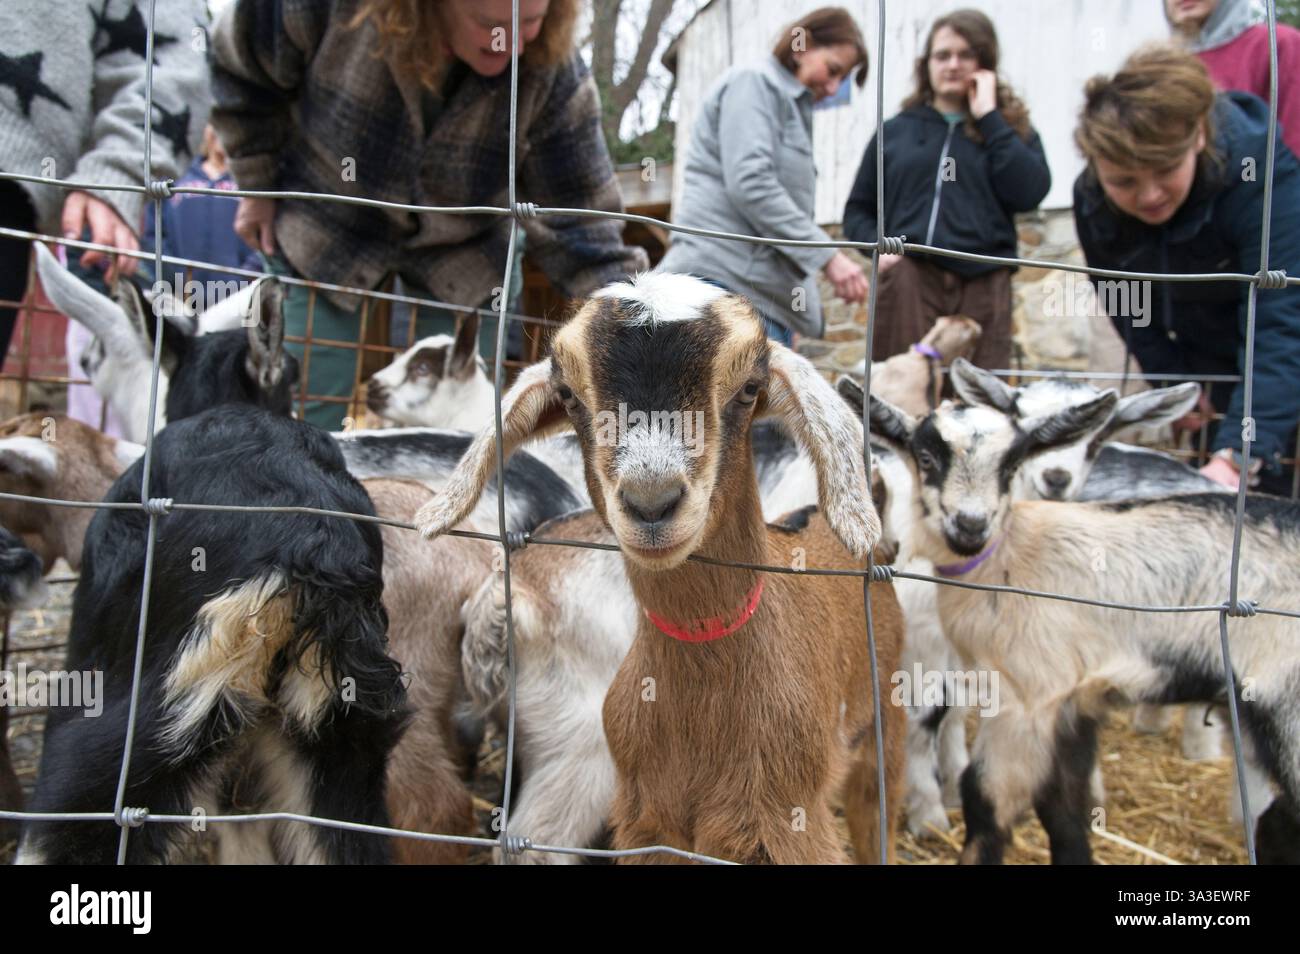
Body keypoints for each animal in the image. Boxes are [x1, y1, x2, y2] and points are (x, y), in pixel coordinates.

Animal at [416, 273, 905, 864]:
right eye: (568, 396)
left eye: (748, 389)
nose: (652, 503)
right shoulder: (647, 821)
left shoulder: (793, 825)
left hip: (887, 723)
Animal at [865, 375, 1300, 865]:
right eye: (926, 458)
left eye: (1013, 462)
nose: (970, 524)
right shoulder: (1048, 694)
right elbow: (1047, 804)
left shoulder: (1025, 686)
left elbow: (995, 790)